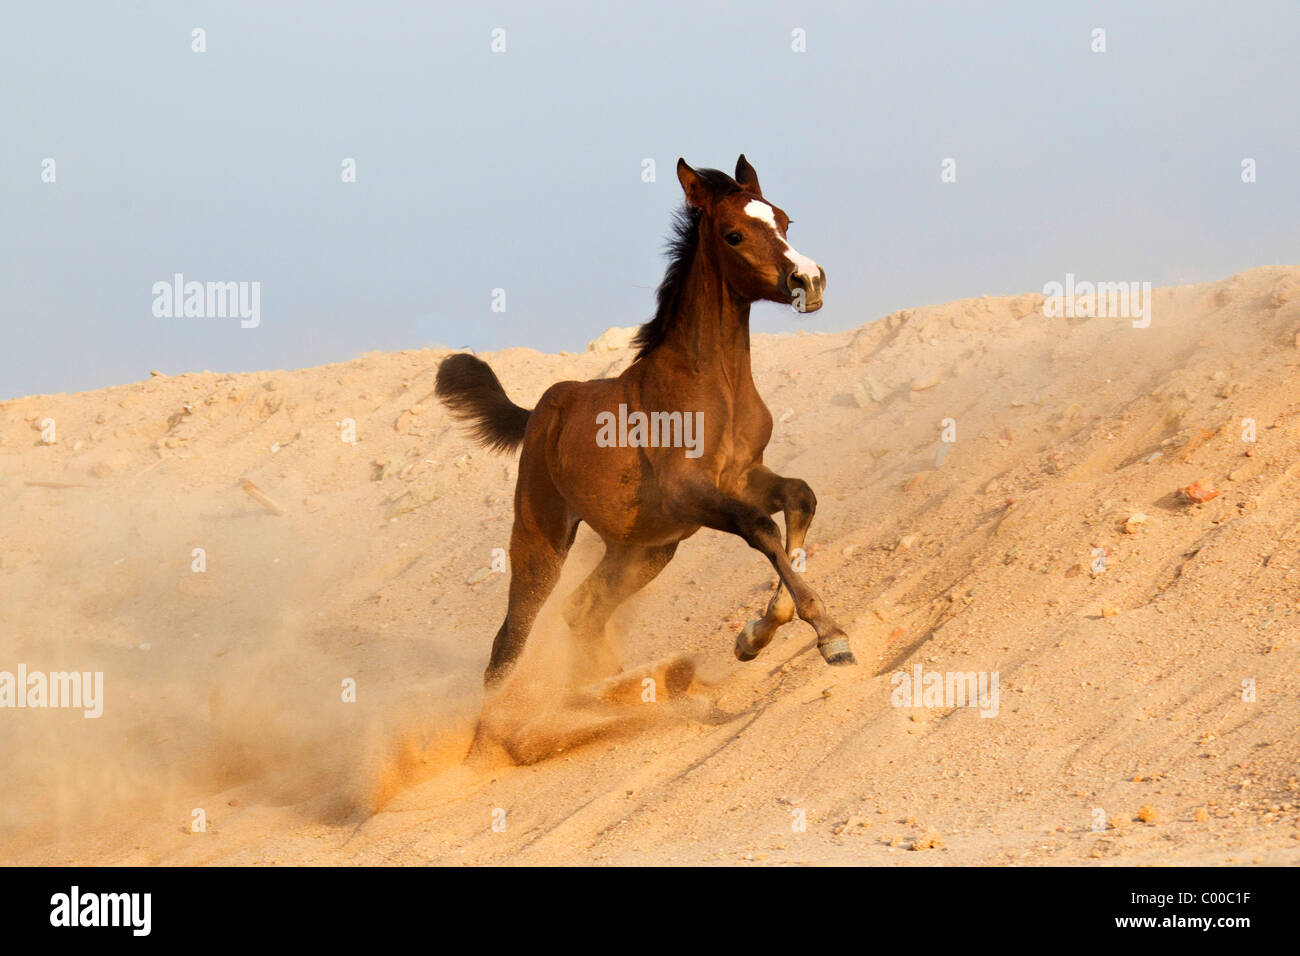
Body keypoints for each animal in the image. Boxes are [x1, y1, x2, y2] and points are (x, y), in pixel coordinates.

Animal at [435, 155, 855, 716]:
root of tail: (538, 415)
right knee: (510, 638)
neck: (715, 383)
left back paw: (604, 692)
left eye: (785, 220)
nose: (808, 280)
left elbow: (800, 499)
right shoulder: (690, 491)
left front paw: (753, 636)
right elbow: (762, 528)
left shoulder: (744, 475)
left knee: (582, 609)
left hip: (644, 550)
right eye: (734, 234)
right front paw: (829, 636)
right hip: (541, 537)